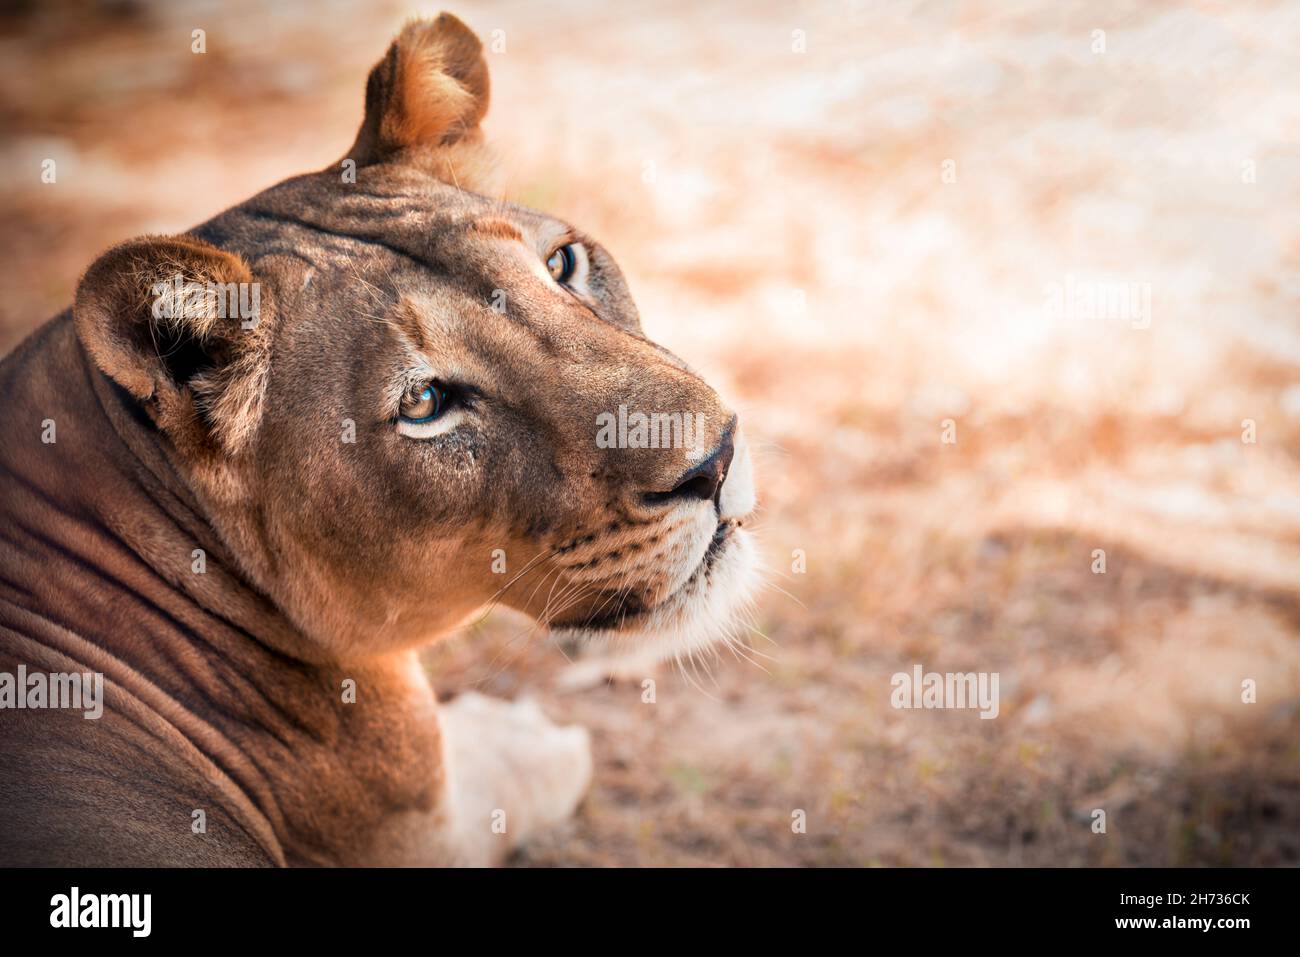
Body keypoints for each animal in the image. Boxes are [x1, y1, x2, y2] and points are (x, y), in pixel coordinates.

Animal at [0, 13, 758, 866]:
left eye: (562, 262)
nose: (718, 457)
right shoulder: (419, 831)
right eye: (425, 402)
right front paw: (528, 733)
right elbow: (515, 772)